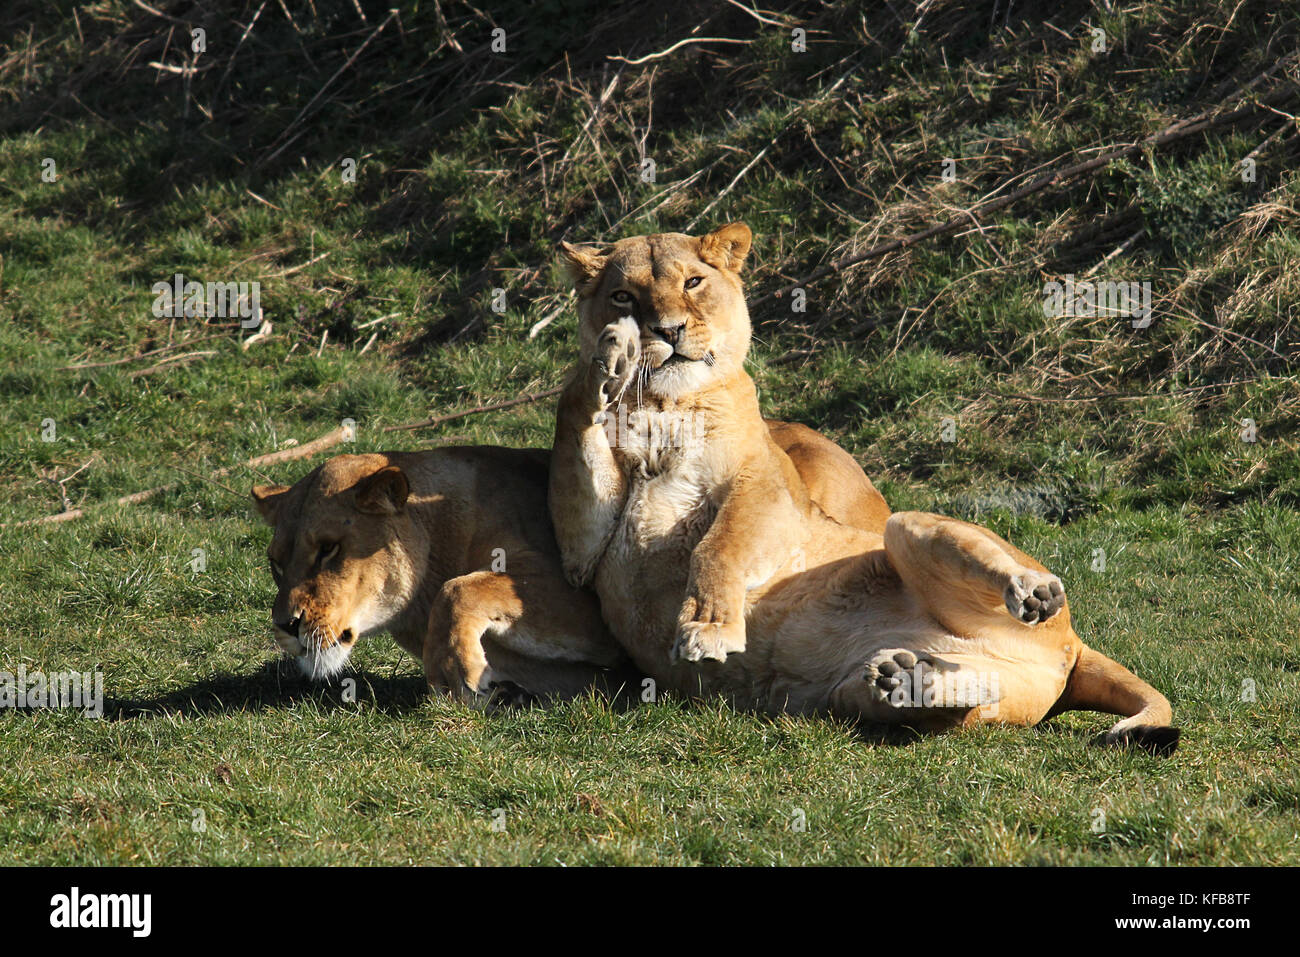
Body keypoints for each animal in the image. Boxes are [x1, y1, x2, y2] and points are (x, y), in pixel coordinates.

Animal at [250, 427, 889, 703]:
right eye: (276, 565)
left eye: (329, 548)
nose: (286, 625)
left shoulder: (593, 605)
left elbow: (465, 586)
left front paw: (453, 664)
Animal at [549, 222, 1179, 753]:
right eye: (624, 296)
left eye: (694, 282)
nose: (668, 331)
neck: (665, 408)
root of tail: (1073, 651)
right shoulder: (586, 546)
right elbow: (572, 417)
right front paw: (608, 355)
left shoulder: (767, 489)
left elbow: (719, 544)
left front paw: (706, 629)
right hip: (875, 692)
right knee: (956, 704)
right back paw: (910, 681)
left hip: (906, 523)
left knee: (996, 571)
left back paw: (1034, 592)